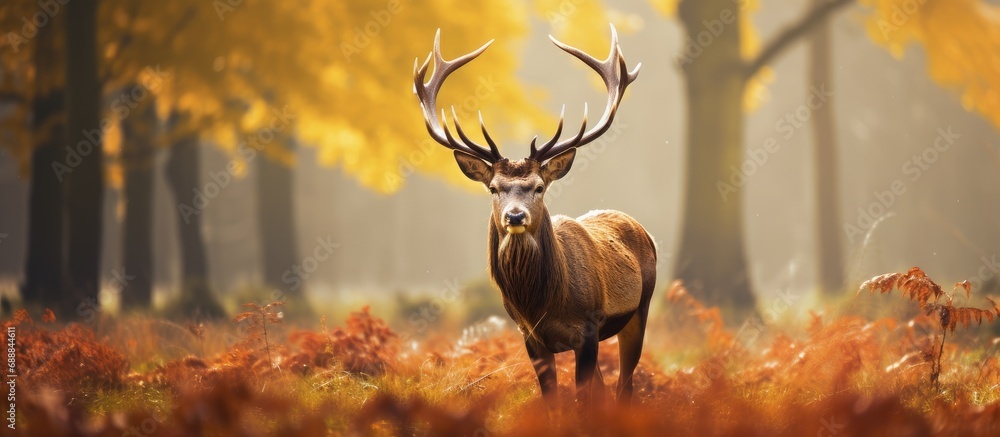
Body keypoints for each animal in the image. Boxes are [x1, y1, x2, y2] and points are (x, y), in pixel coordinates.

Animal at [413, 25, 656, 406]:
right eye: (493, 188)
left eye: (539, 187)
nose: (515, 216)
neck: (542, 305)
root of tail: (643, 230)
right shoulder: (529, 337)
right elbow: (552, 400)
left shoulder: (588, 329)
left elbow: (583, 400)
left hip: (639, 310)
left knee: (624, 386)